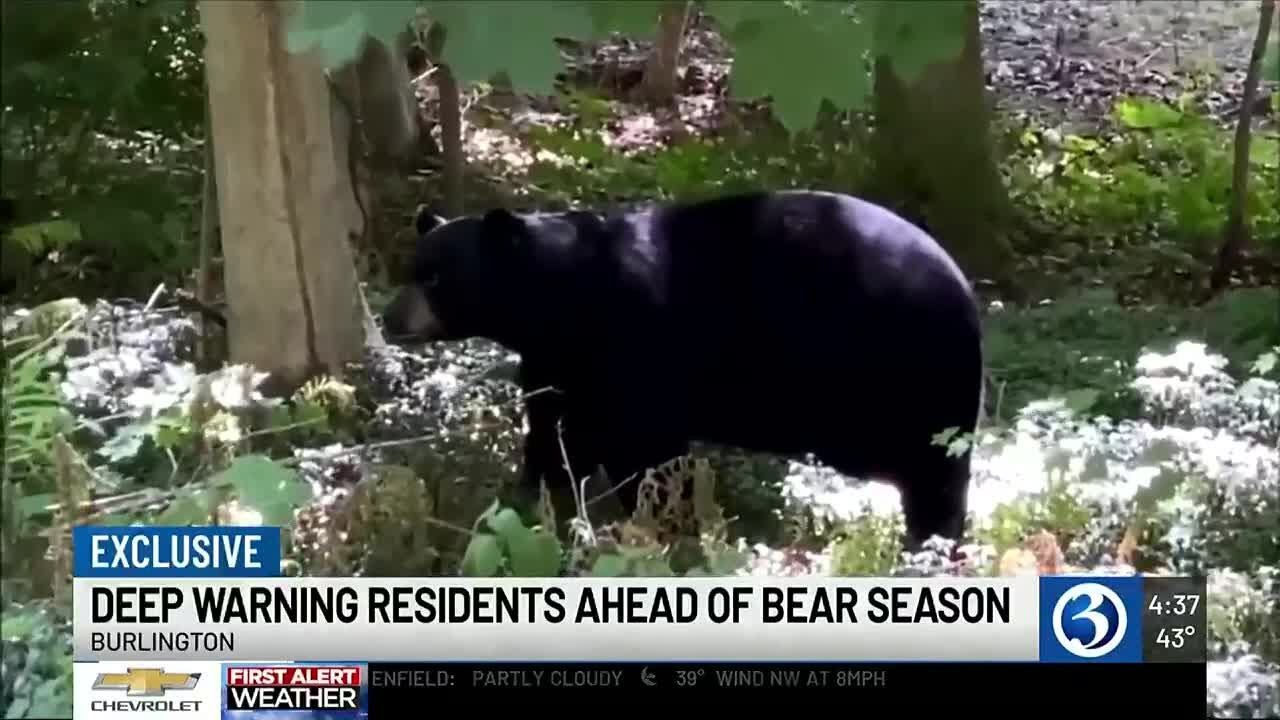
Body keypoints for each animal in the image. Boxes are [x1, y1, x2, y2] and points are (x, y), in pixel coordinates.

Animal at [381, 190, 984, 550]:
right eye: (411, 269)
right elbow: (554, 439)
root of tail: (963, 287)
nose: (389, 318)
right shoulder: (558, 364)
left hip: (913, 378)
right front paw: (527, 509)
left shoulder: (635, 349)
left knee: (936, 481)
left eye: (435, 277)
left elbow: (644, 450)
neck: (563, 300)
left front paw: (658, 526)